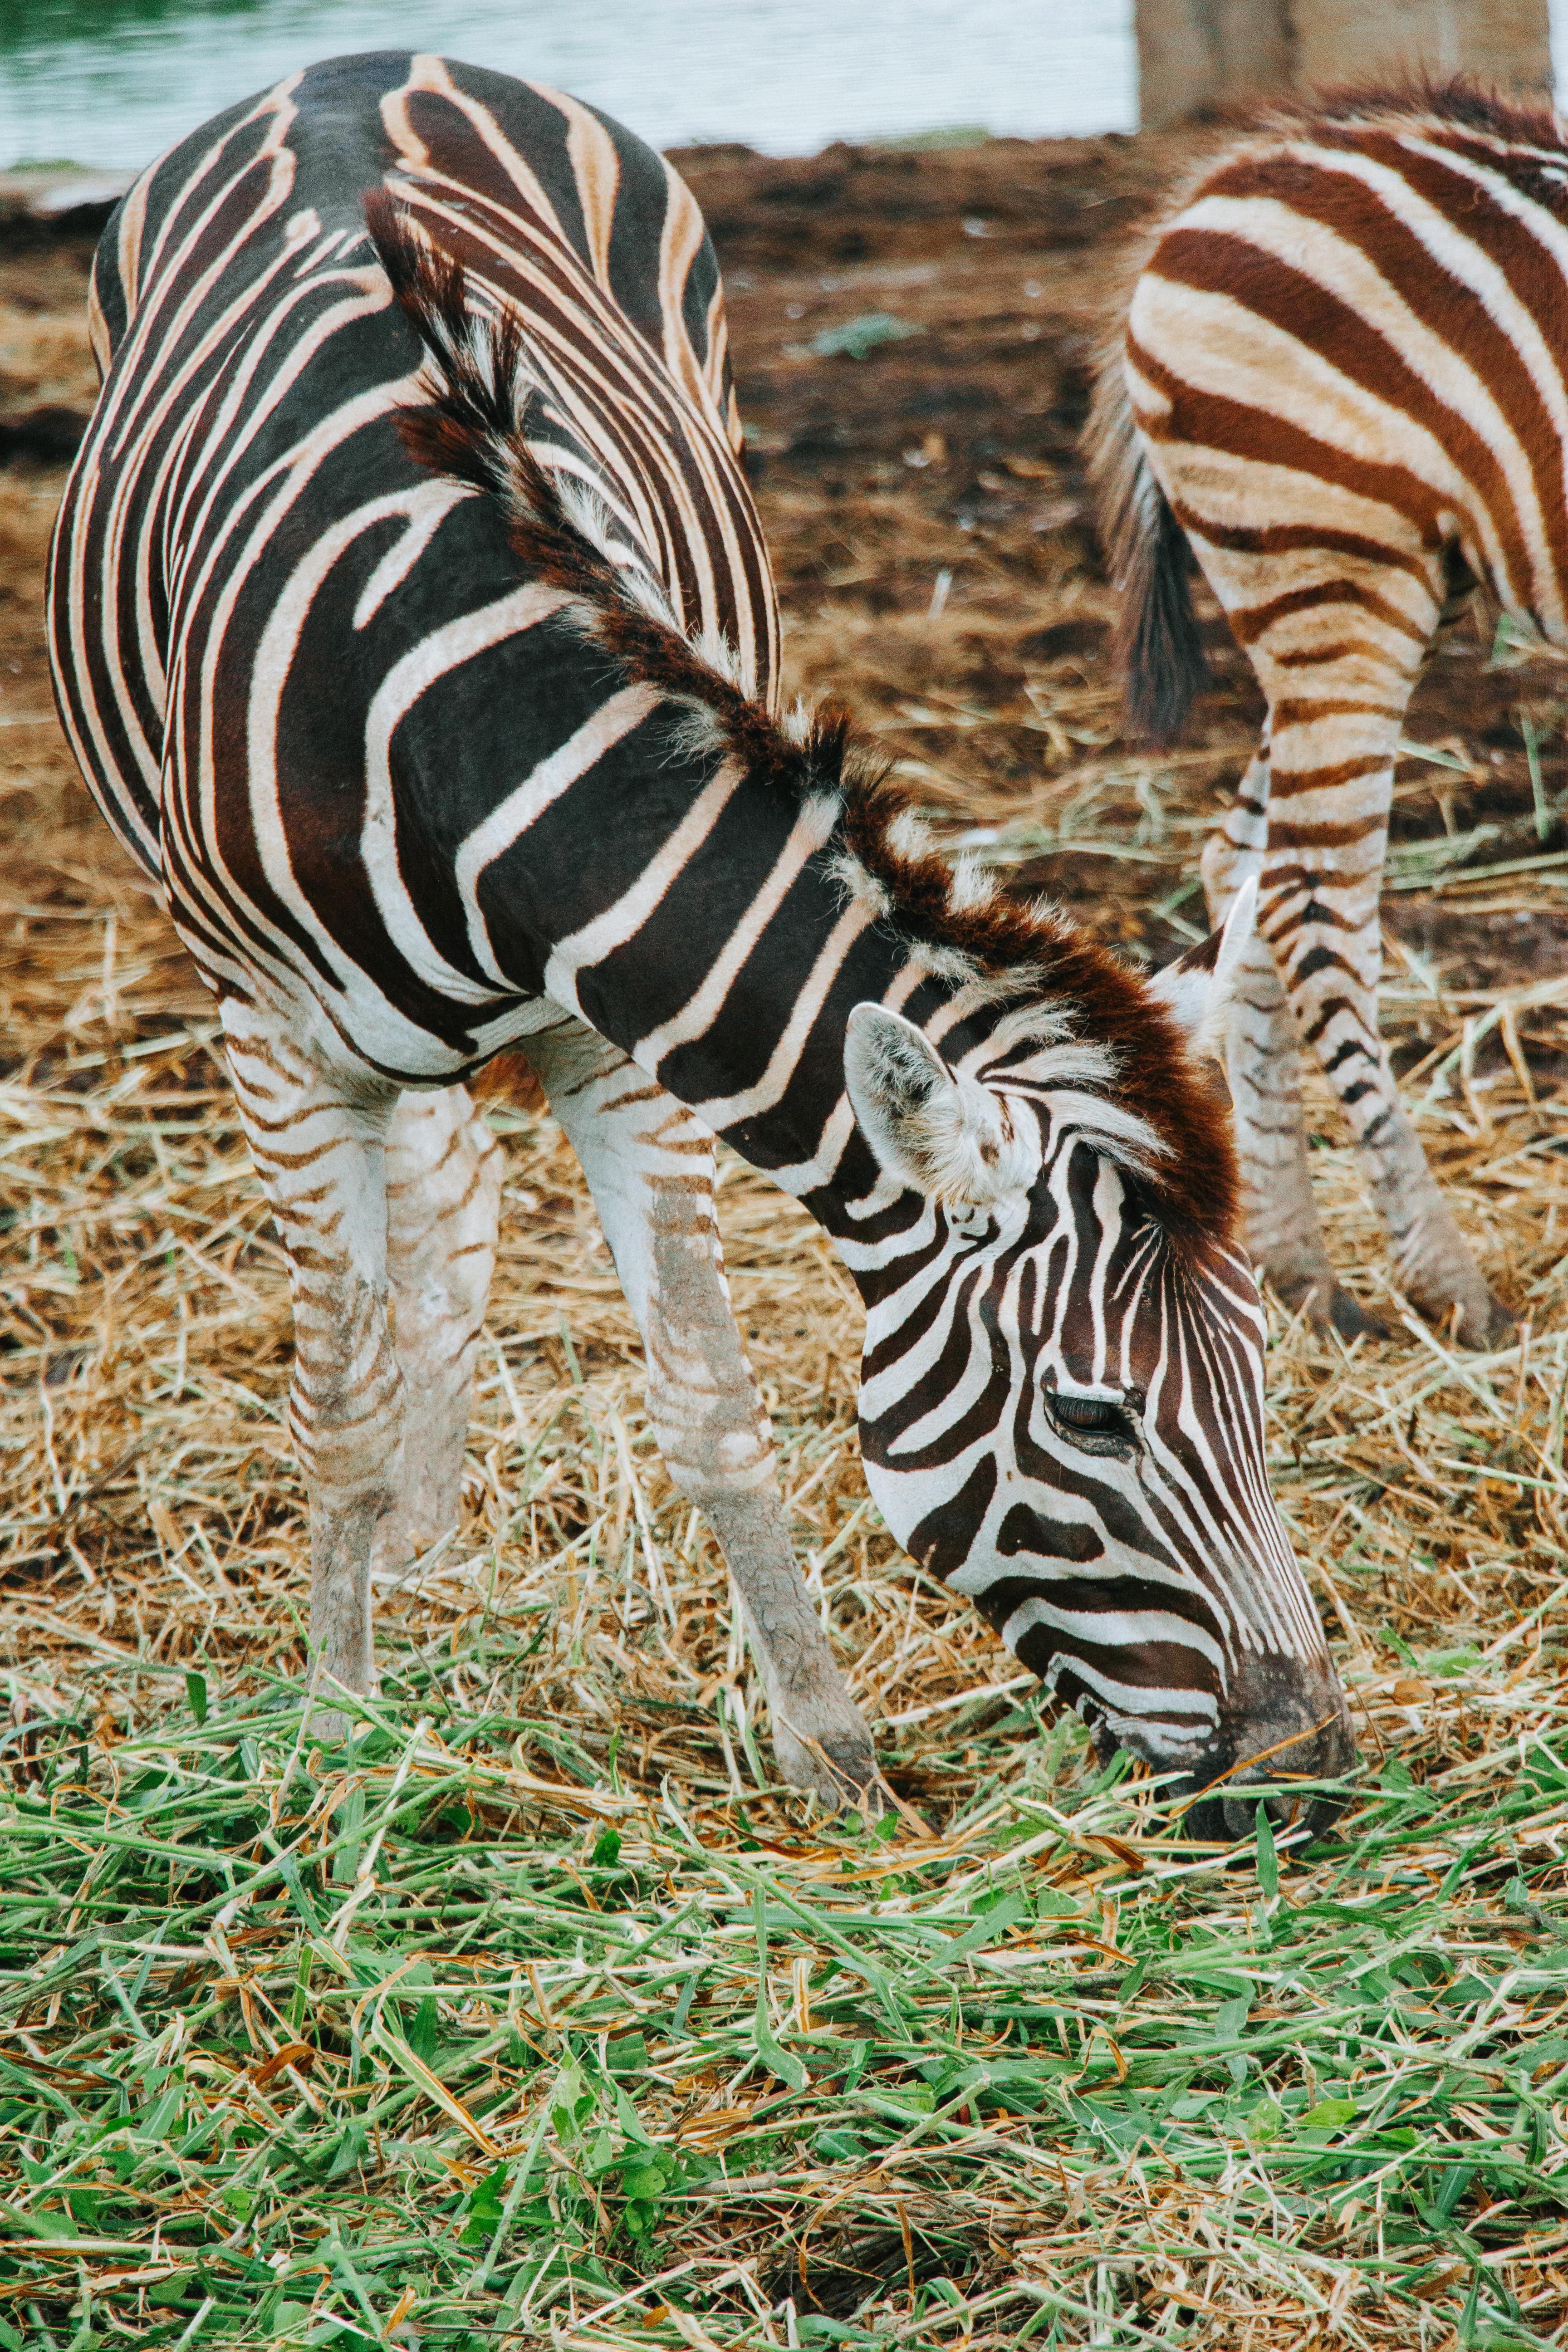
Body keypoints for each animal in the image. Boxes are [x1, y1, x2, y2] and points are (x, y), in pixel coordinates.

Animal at [48, 52, 1353, 1834]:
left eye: (1264, 1374)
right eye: (1091, 1415)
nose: (1313, 1778)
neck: (466, 724)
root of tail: (354, 64)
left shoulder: (613, 1039)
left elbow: (708, 1398)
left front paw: (828, 1753)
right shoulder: (278, 1048)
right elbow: (336, 1401)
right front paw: (336, 1734)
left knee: (451, 1182)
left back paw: (436, 1524)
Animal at [1090, 80, 1559, 1350]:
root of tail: (1223, 181)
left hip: (1338, 598)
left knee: (1242, 867)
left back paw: (1292, 1263)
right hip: (1341, 572)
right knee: (1312, 903)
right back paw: (1448, 1283)